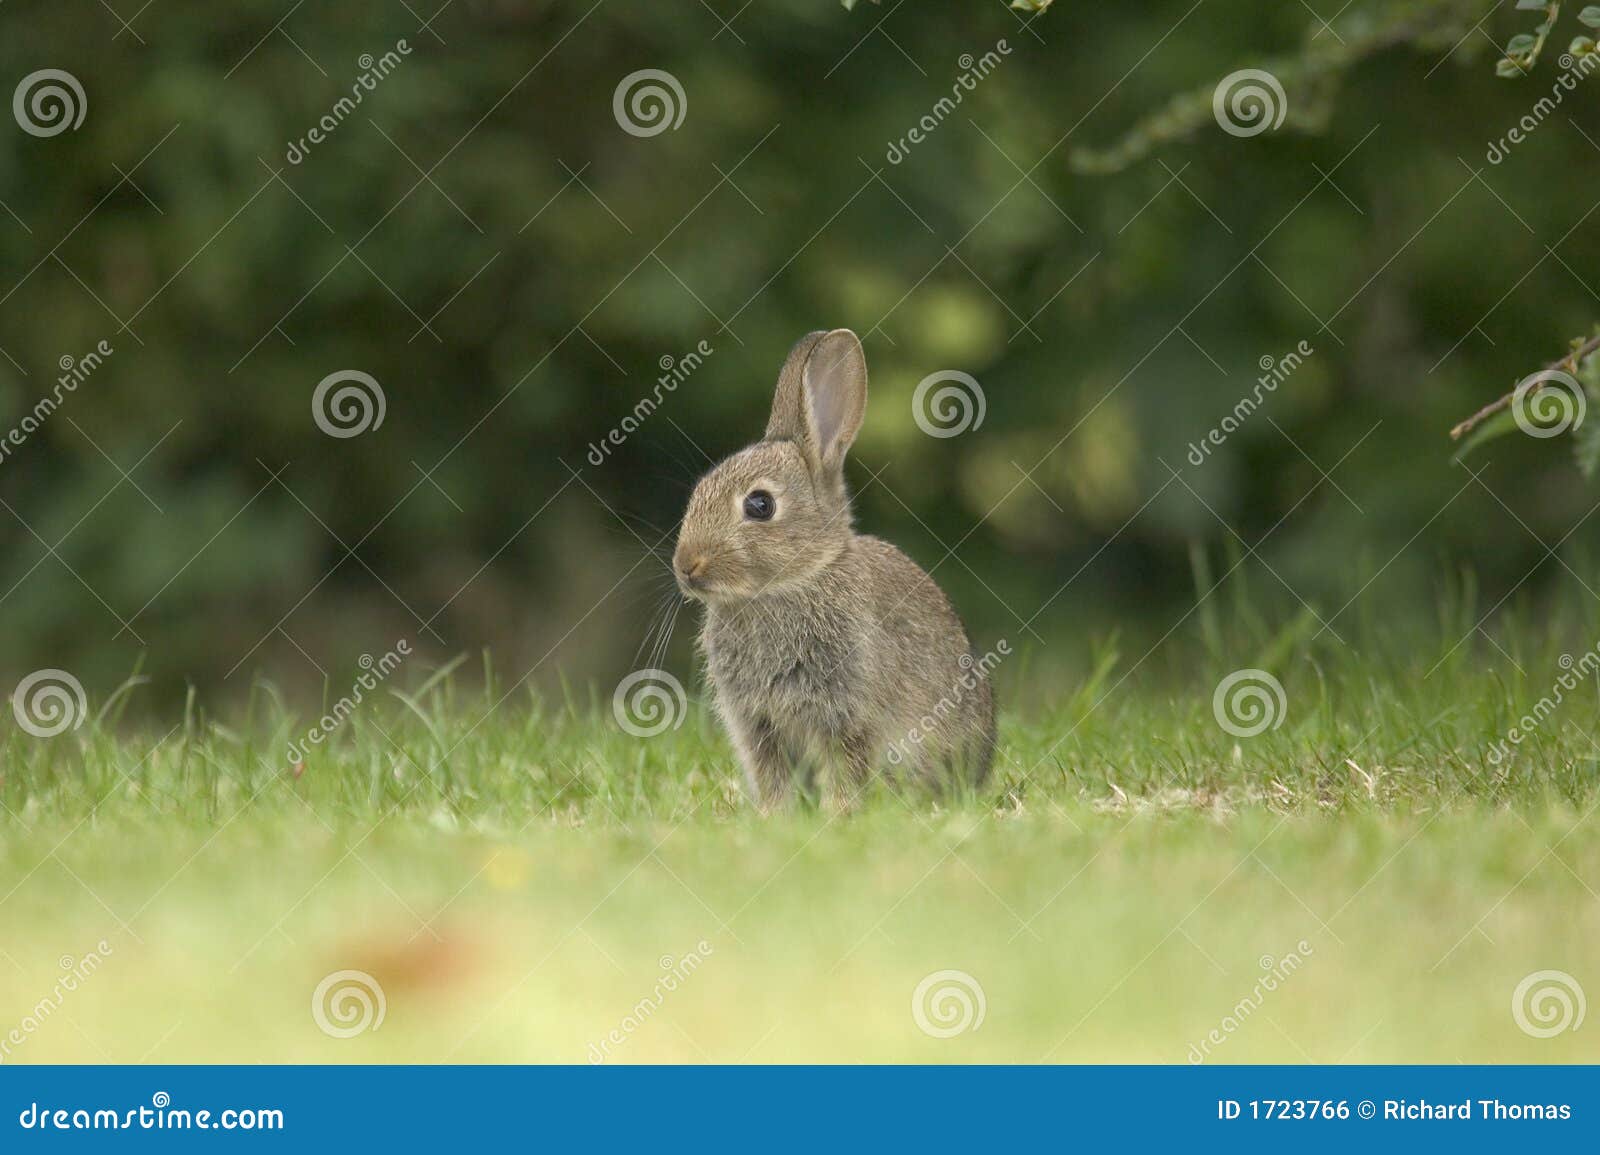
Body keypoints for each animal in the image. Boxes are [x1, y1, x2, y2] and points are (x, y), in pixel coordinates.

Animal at [672, 328, 996, 812]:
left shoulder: (849, 714)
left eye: (760, 505)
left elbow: (846, 767)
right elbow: (772, 774)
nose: (686, 566)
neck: (795, 582)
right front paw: (775, 817)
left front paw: (837, 815)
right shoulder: (757, 723)